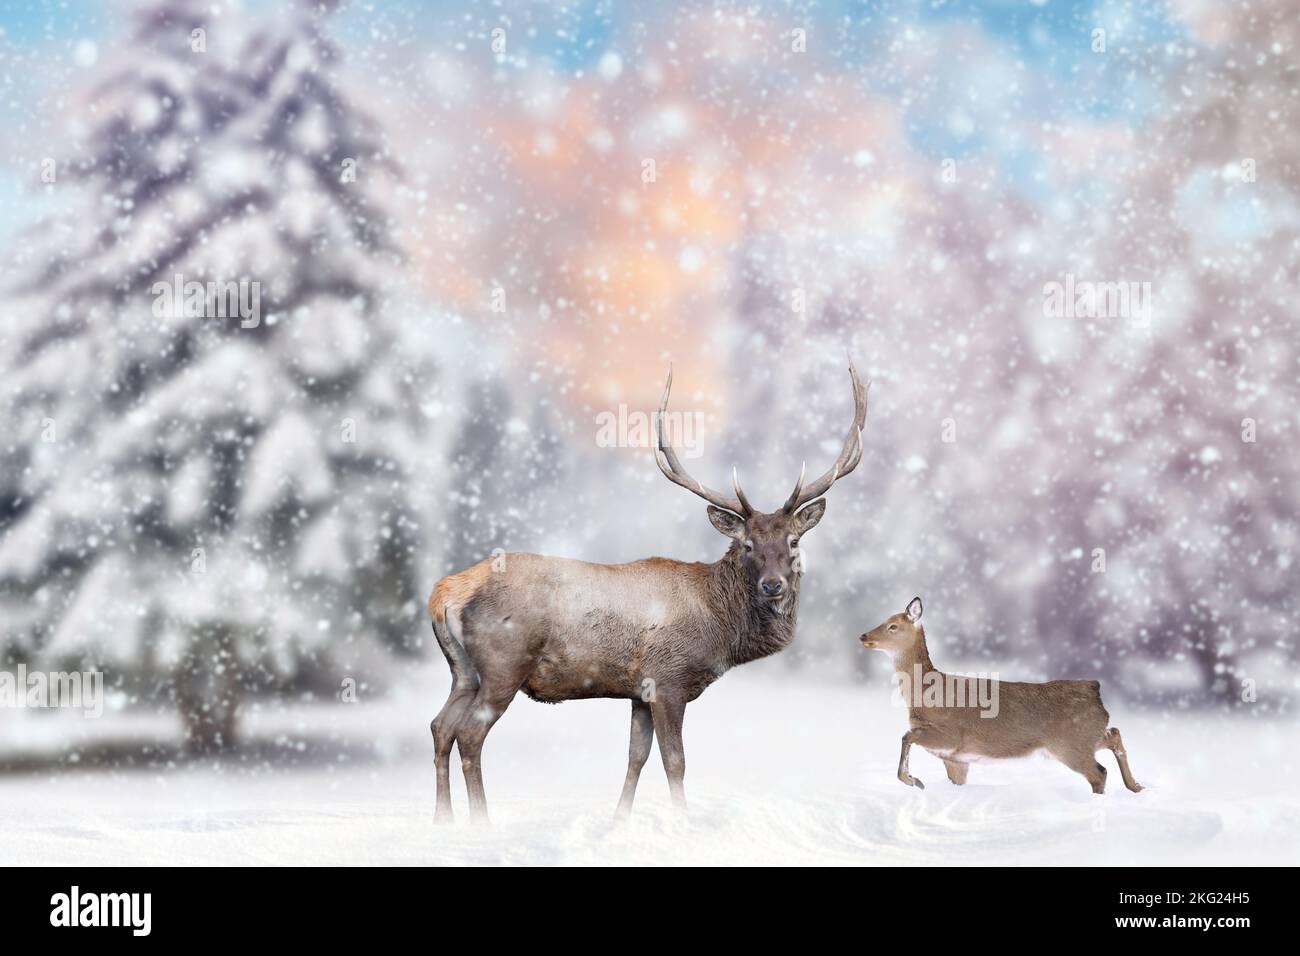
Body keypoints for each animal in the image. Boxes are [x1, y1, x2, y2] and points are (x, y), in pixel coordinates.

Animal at [427, 361, 868, 823]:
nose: (772, 584)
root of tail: (444, 593)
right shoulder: (669, 678)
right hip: (503, 664)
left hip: (463, 671)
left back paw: (443, 819)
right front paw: (683, 819)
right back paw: (480, 820)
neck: (719, 628)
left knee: (440, 726)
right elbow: (675, 761)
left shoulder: (639, 691)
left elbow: (635, 757)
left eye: (793, 541)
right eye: (748, 544)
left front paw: (619, 819)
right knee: (469, 734)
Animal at [859, 597, 1144, 795]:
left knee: (1099, 772)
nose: (863, 635)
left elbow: (906, 735)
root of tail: (1094, 688)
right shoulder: (956, 759)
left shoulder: (951, 734)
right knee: (1113, 734)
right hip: (1082, 738)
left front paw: (914, 781)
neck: (926, 694)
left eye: (893, 626)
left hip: (1070, 744)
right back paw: (1136, 786)